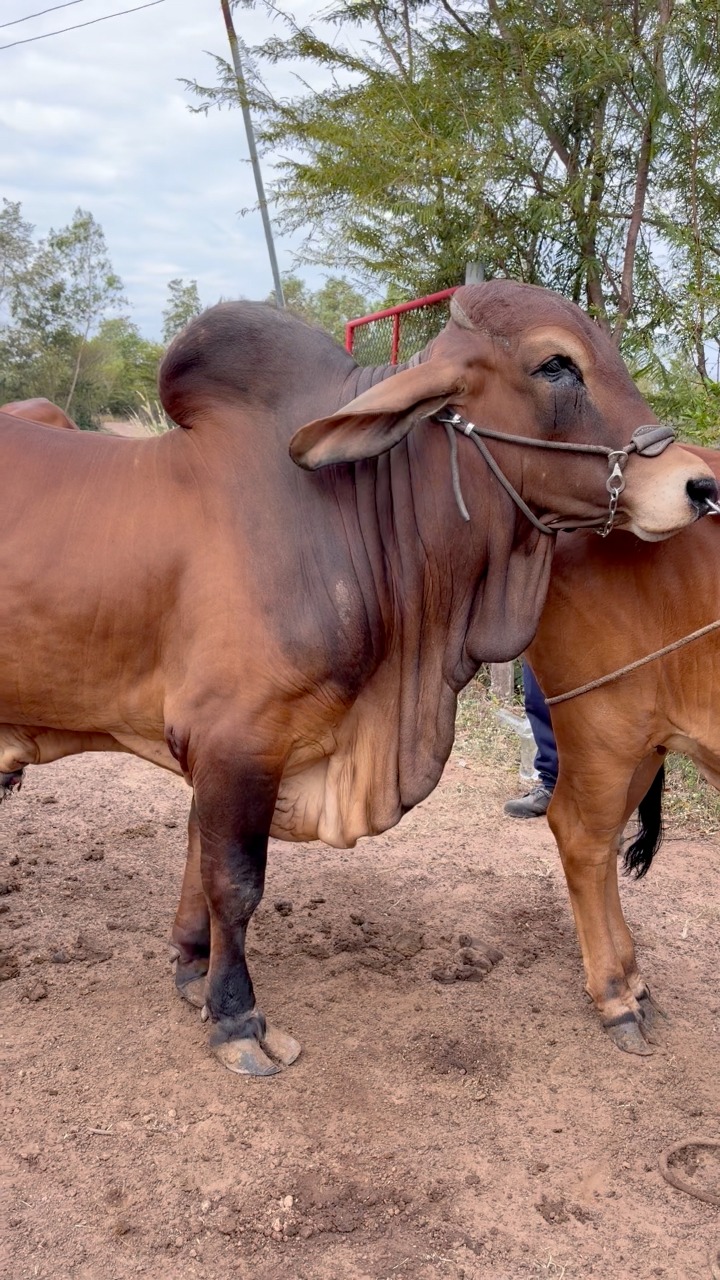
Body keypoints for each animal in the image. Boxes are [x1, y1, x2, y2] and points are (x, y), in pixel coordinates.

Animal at [526, 445, 720, 1057]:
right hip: (602, 727)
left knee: (604, 841)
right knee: (582, 837)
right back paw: (614, 994)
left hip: (645, 745)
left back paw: (633, 980)